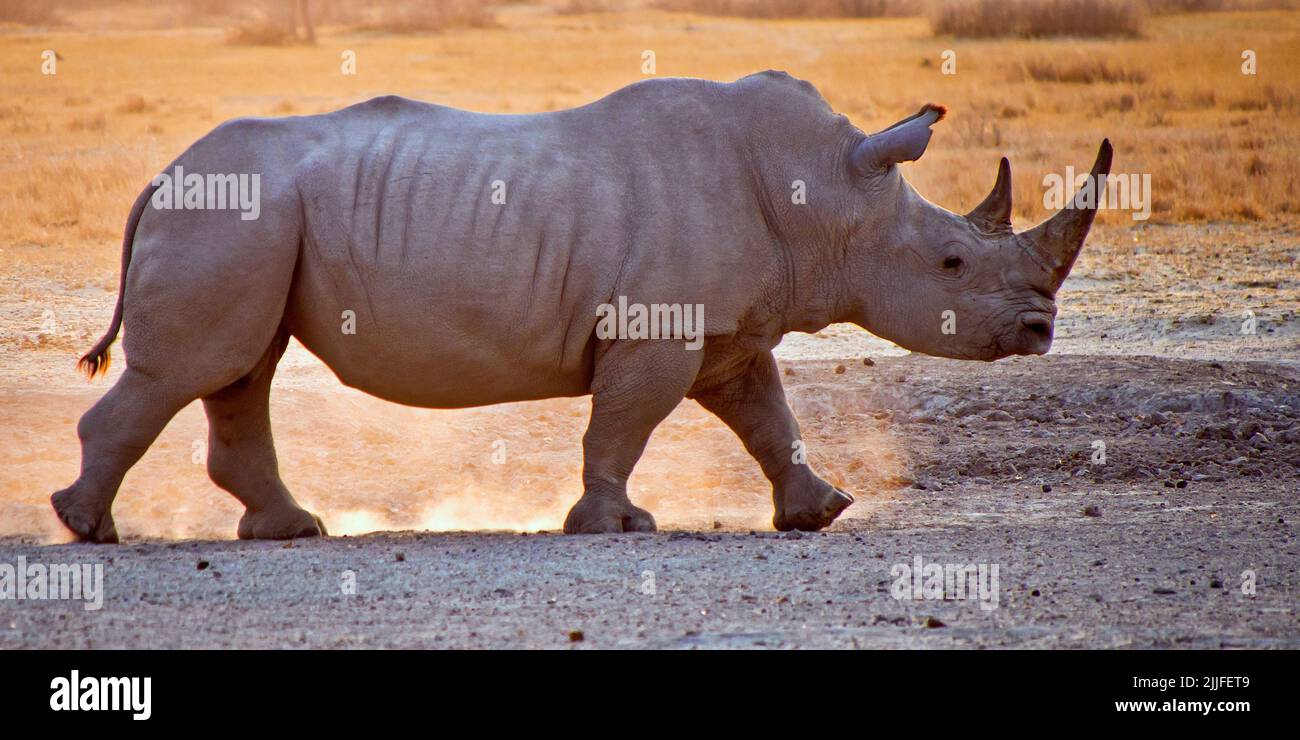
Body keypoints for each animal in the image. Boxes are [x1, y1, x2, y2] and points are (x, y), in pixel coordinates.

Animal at [52, 71, 1110, 543]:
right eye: (951, 262)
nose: (1039, 331)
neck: (826, 195)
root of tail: (164, 175)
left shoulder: (728, 329)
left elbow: (768, 418)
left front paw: (820, 512)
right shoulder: (659, 325)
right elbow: (626, 422)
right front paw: (614, 525)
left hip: (253, 219)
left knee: (241, 370)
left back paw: (289, 532)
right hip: (236, 214)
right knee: (196, 369)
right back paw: (87, 529)